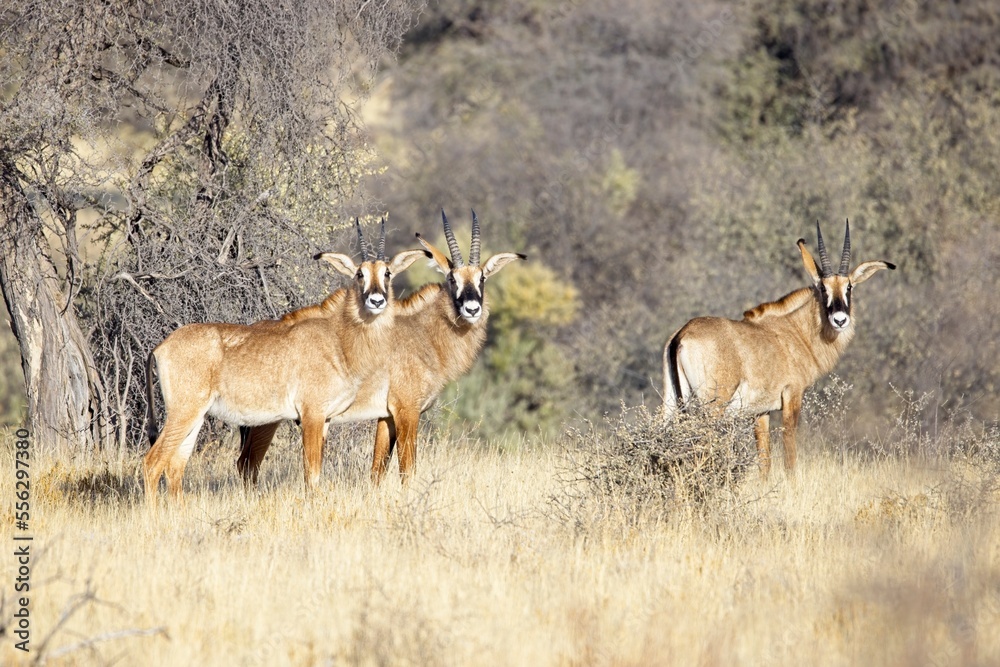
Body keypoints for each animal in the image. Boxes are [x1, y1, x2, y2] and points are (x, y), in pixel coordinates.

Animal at [143, 219, 427, 503]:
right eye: (360, 274)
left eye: (387, 273)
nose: (376, 300)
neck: (338, 339)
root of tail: (160, 347)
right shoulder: (311, 415)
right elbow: (312, 475)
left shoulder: (325, 419)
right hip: (184, 412)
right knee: (152, 463)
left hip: (195, 418)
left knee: (175, 468)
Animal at [662, 221, 894, 477]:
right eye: (823, 288)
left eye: (849, 287)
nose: (840, 319)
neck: (796, 331)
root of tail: (682, 335)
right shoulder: (792, 395)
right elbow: (789, 453)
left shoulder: (760, 411)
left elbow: (764, 460)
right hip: (712, 405)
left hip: (671, 401)